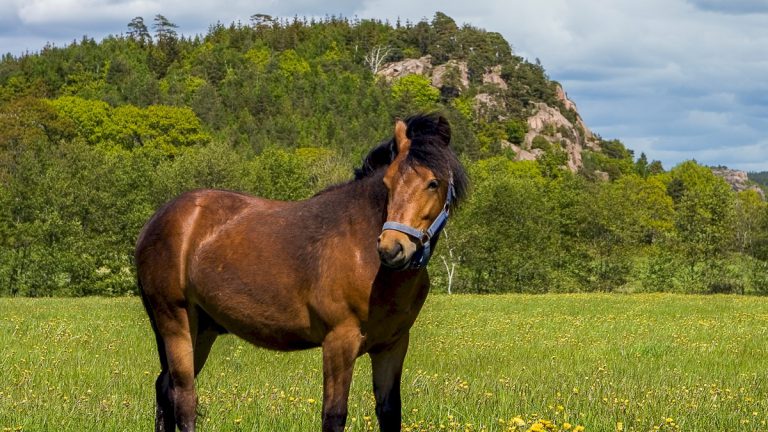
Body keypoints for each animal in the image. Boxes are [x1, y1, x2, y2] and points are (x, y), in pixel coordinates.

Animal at [135, 114, 468, 432]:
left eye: (433, 183)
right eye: (387, 184)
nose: (392, 248)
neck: (362, 250)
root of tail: (156, 221)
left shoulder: (392, 346)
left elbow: (389, 414)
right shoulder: (339, 342)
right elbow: (333, 416)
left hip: (202, 330)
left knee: (165, 388)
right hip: (176, 322)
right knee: (184, 399)